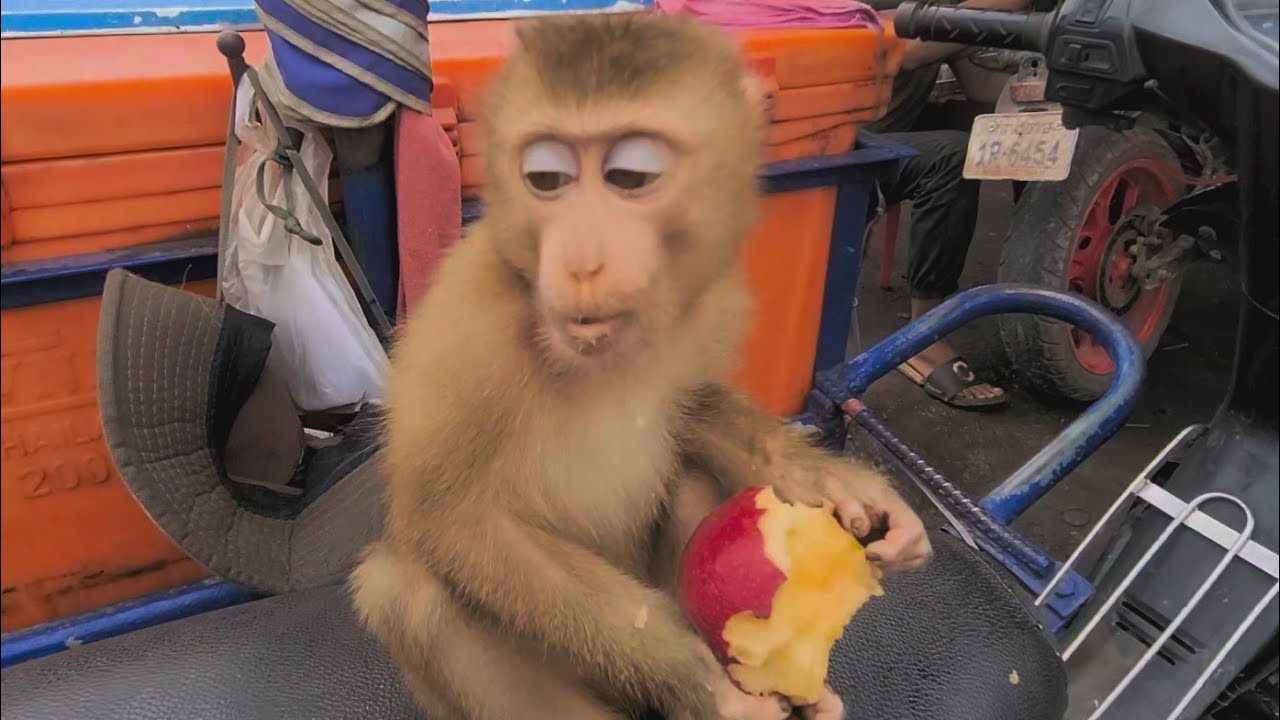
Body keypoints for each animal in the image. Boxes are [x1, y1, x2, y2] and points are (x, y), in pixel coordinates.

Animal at [350, 13, 932, 720]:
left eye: (631, 174)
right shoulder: (468, 327)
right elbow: (456, 521)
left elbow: (695, 403)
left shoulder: (709, 302)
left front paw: (847, 487)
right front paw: (713, 691)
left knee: (688, 476)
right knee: (404, 592)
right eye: (547, 178)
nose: (582, 263)